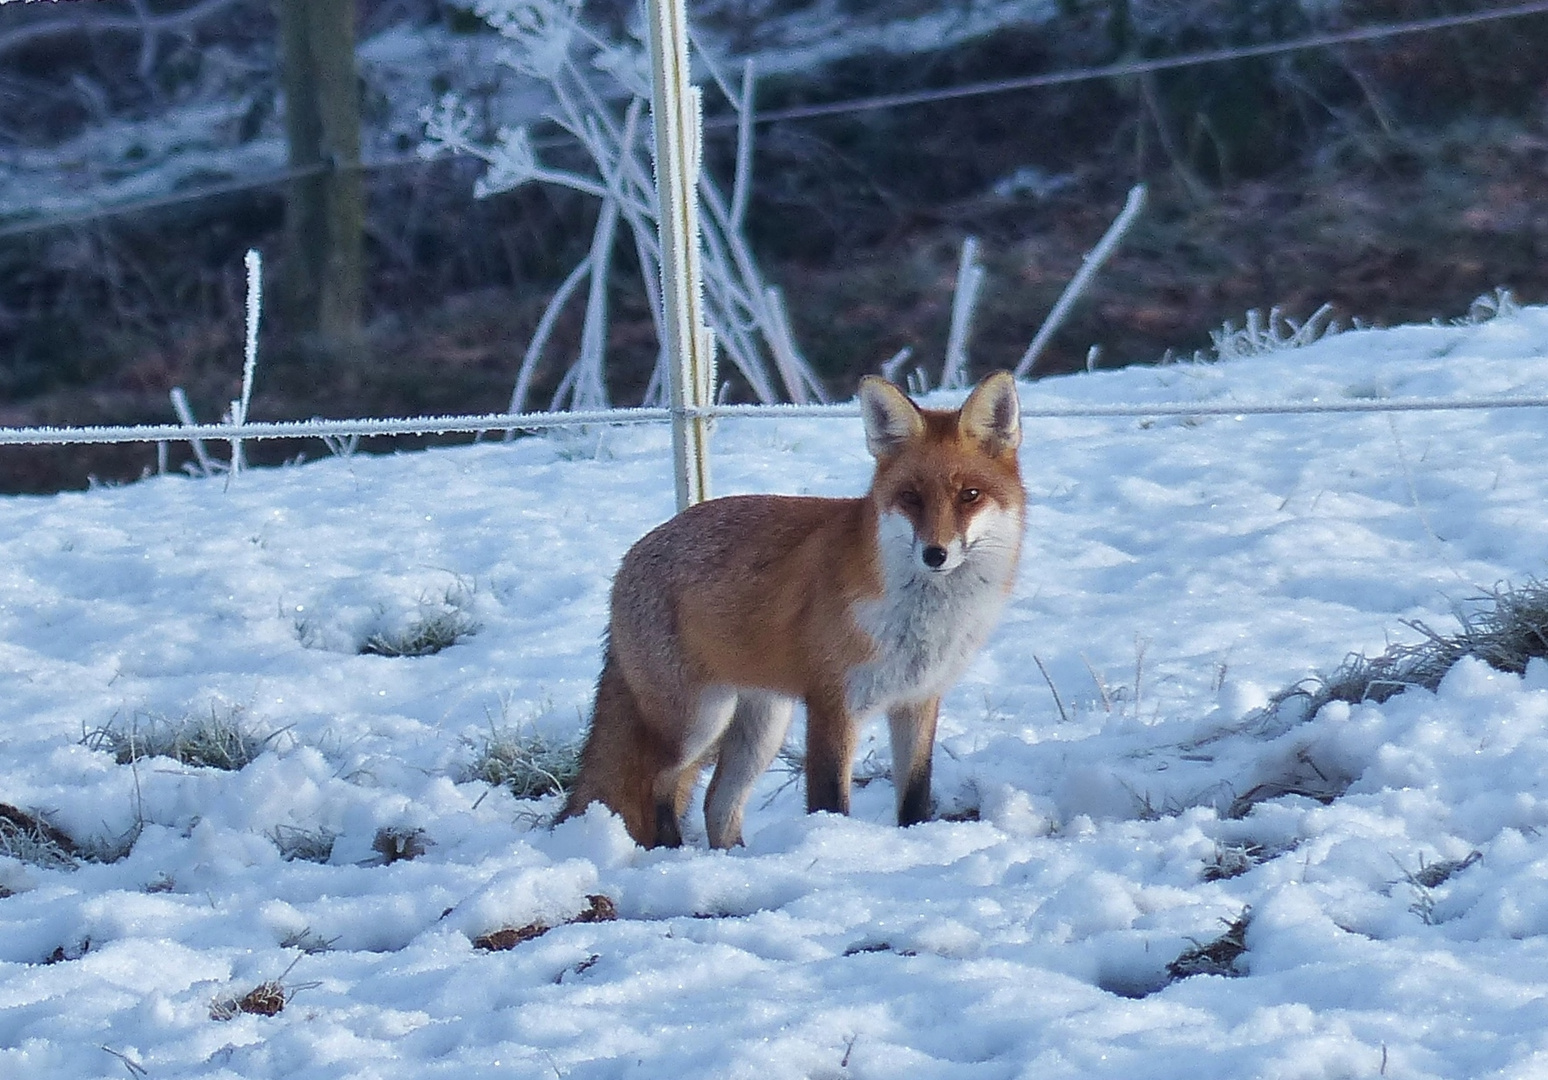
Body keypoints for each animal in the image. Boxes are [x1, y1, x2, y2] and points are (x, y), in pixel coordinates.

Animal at [559, 370, 1026, 849]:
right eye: (911, 497)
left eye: (970, 495)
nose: (935, 554)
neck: (922, 621)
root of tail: (631, 555)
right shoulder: (832, 703)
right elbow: (829, 800)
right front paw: (831, 841)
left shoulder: (918, 701)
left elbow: (915, 796)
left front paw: (916, 840)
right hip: (699, 723)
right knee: (660, 784)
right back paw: (675, 854)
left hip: (761, 728)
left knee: (716, 803)